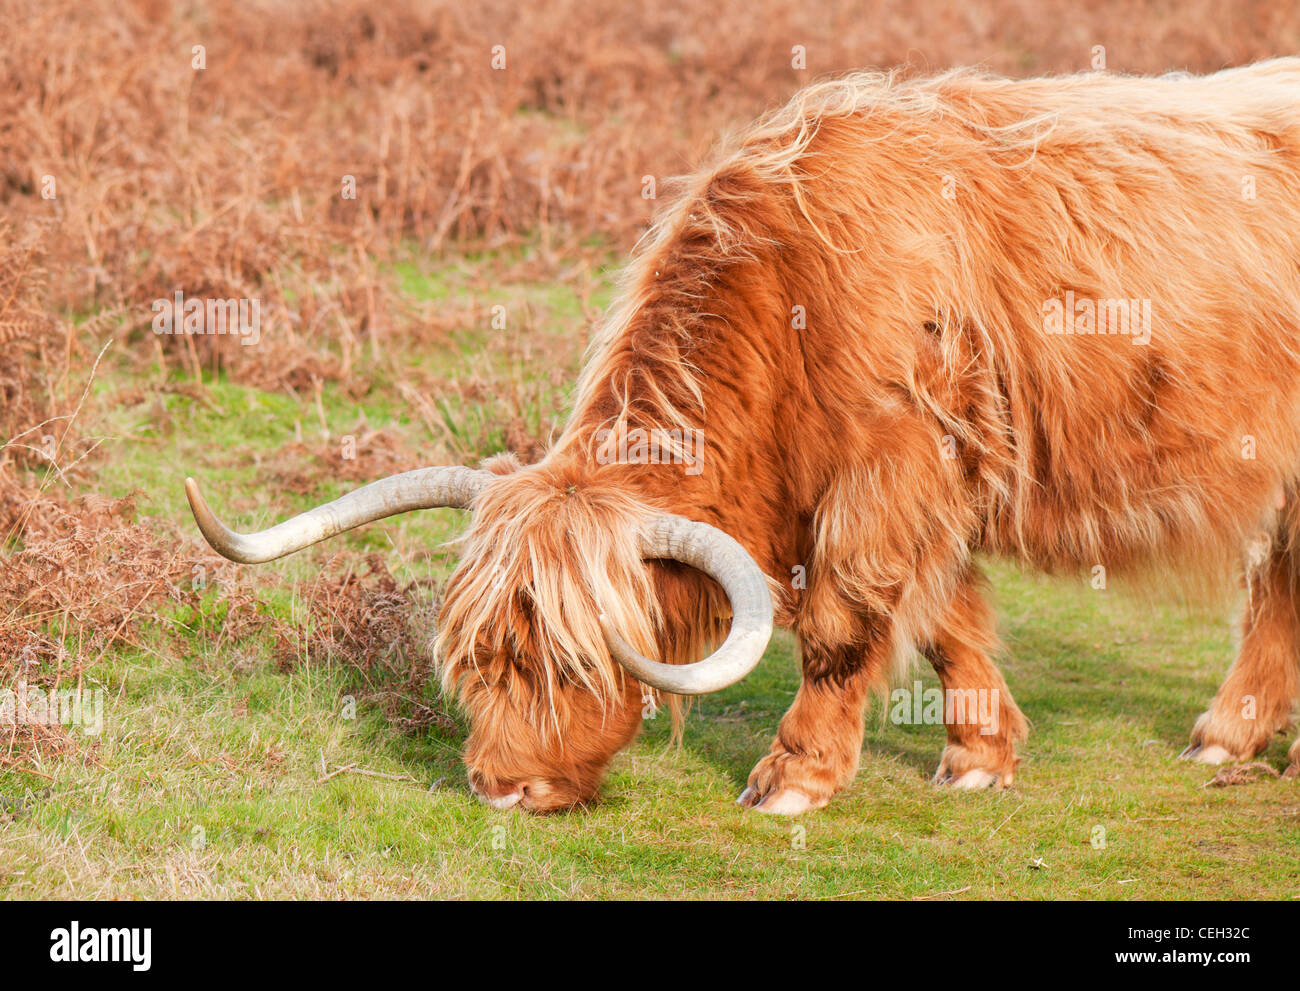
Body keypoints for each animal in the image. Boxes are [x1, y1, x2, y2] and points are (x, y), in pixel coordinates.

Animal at [187, 58, 1300, 813]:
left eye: (572, 665)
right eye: (476, 657)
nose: (497, 787)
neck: (790, 296)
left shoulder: (889, 475)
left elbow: (848, 623)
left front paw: (796, 774)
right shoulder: (919, 483)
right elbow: (946, 618)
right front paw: (979, 756)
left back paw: (1223, 733)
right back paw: (1229, 737)